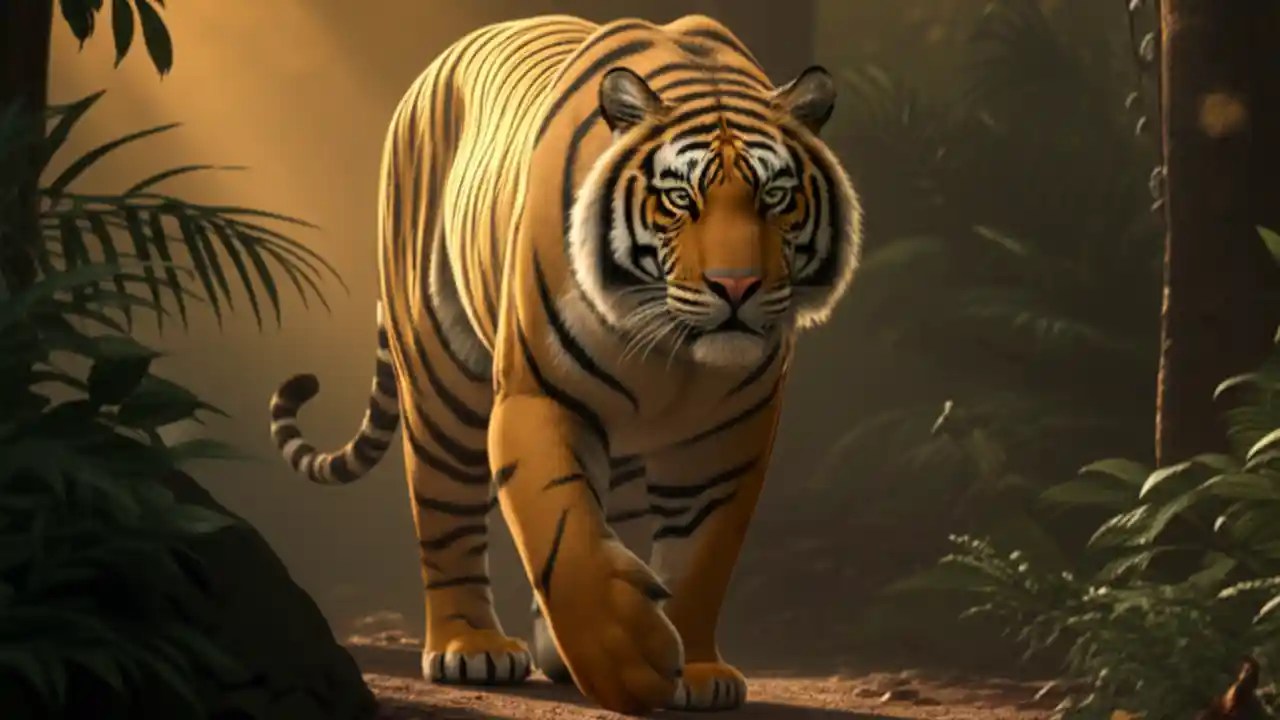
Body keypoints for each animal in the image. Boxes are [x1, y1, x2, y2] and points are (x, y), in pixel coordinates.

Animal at [267, 13, 860, 715]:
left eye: (775, 196)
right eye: (678, 199)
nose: (736, 286)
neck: (670, 349)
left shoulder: (727, 438)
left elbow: (700, 558)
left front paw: (695, 669)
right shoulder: (536, 396)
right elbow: (563, 534)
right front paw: (625, 656)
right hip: (441, 382)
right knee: (446, 510)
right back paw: (471, 647)